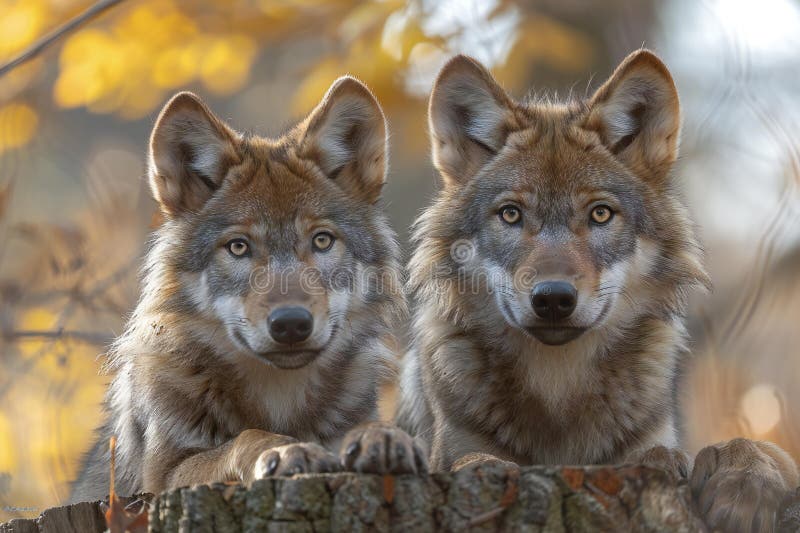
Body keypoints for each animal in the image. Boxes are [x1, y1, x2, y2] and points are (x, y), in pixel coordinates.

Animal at [71, 76, 426, 502]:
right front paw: (284, 449)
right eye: (238, 247)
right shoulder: (161, 479)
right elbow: (245, 438)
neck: (279, 396)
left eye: (322, 241)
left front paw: (384, 437)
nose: (291, 324)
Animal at [396, 50, 799, 531]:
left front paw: (744, 485)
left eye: (601, 214)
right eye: (511, 214)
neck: (558, 384)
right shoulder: (448, 450)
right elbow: (472, 462)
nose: (553, 298)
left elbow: (750, 446)